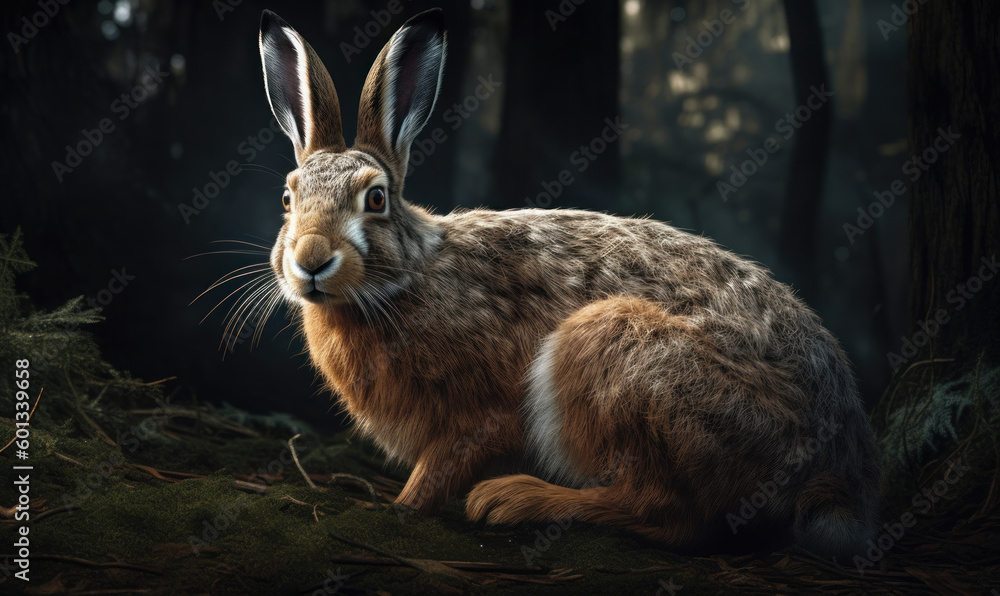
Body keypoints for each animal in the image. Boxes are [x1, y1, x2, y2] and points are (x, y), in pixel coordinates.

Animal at [257, 8, 880, 558]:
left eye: (376, 199)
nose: (311, 259)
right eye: (287, 198)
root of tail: (834, 469)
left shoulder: (482, 411)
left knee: (667, 514)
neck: (411, 275)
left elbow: (447, 462)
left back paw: (515, 500)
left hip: (618, 352)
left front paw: (402, 506)